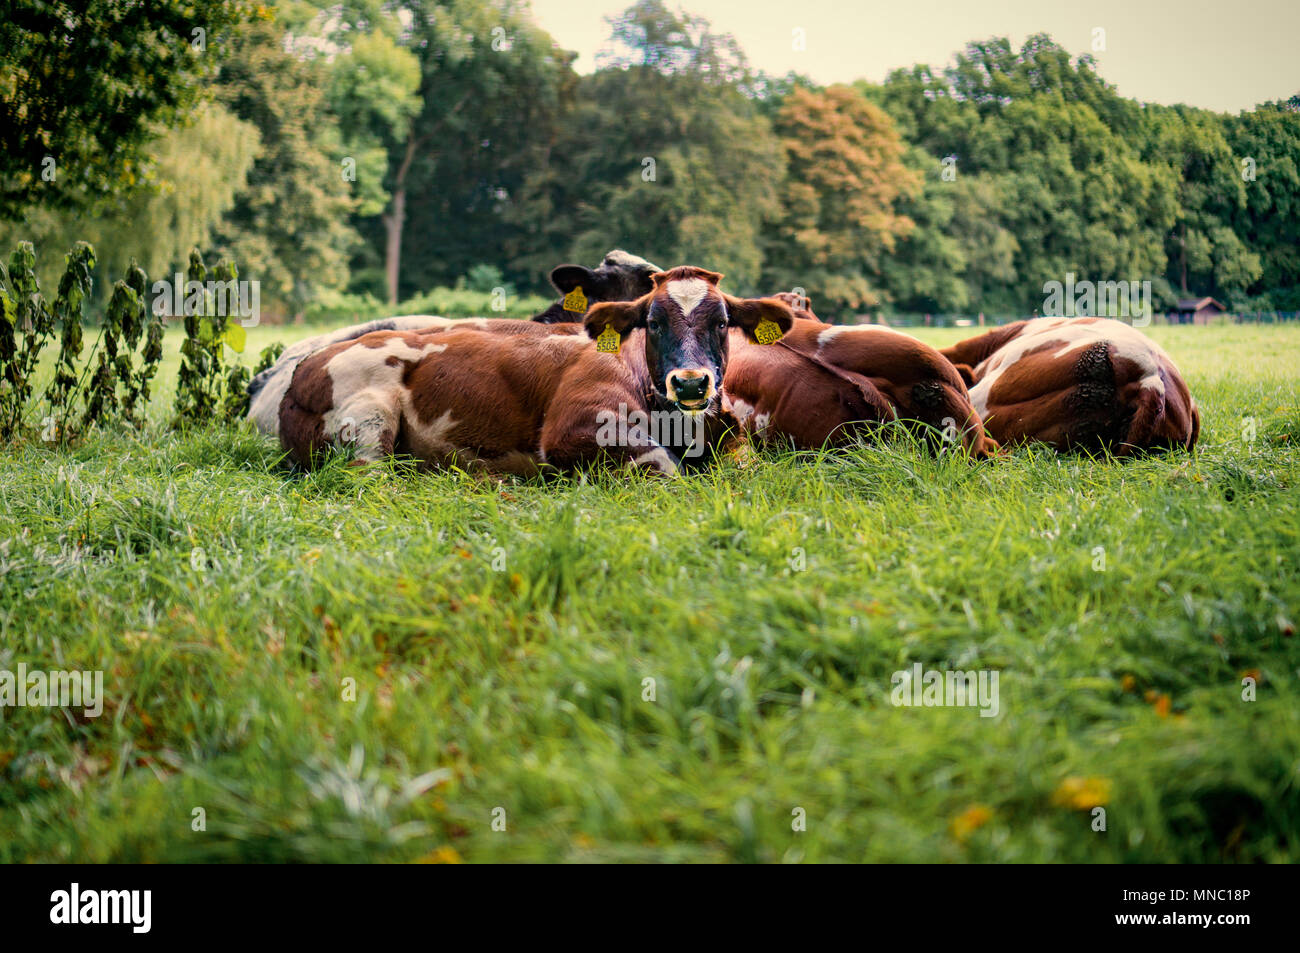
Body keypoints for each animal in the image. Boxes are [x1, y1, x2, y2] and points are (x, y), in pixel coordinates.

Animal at [276, 267, 795, 475]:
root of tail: (303, 370)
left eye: (722, 322)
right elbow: (664, 468)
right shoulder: (576, 426)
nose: (690, 383)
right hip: (367, 422)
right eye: (653, 321)